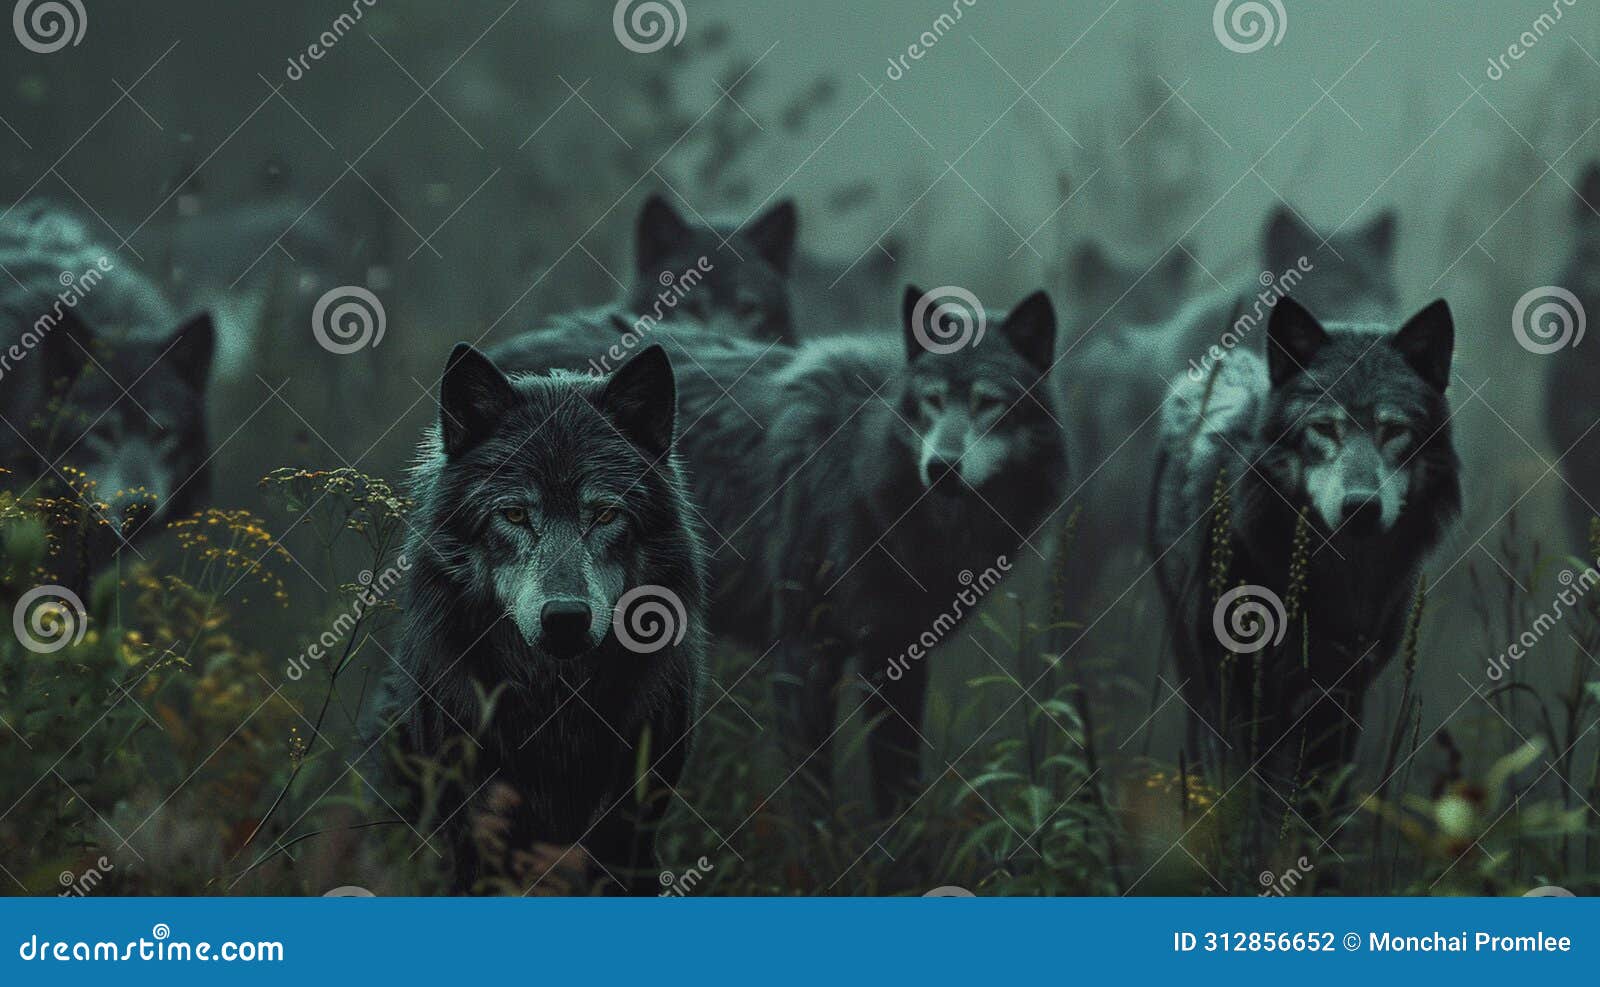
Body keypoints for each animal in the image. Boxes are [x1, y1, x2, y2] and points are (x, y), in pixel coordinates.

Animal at [377, 343, 705, 893]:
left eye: (604, 514)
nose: (566, 618)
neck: (556, 708)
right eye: (514, 515)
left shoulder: (628, 833)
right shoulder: (474, 831)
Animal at [493, 286, 1067, 817]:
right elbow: (814, 803)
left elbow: (898, 795)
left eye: (987, 403)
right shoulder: (802, 652)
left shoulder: (898, 654)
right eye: (932, 401)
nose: (942, 467)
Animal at [1151, 296, 1460, 795]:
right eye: (1324, 428)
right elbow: (1249, 794)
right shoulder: (1239, 690)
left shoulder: (1343, 691)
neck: (1338, 580)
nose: (1361, 507)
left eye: (1394, 431)